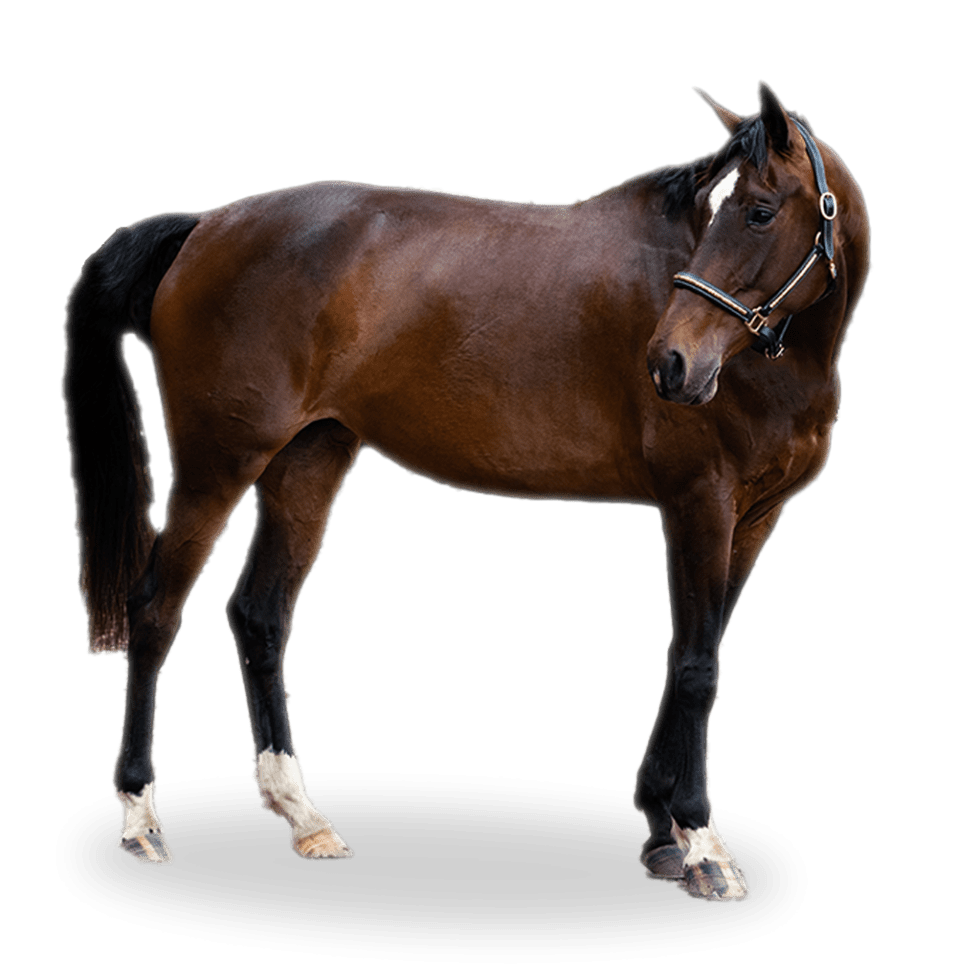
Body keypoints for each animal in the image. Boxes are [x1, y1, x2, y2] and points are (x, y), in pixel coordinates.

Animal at [61, 80, 871, 902]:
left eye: (759, 211)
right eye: (708, 211)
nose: (671, 365)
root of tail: (205, 225)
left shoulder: (755, 518)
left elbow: (690, 656)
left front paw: (660, 830)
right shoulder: (697, 502)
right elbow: (698, 667)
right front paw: (703, 847)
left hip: (308, 461)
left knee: (260, 616)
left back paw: (304, 819)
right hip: (218, 465)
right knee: (156, 611)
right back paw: (142, 821)